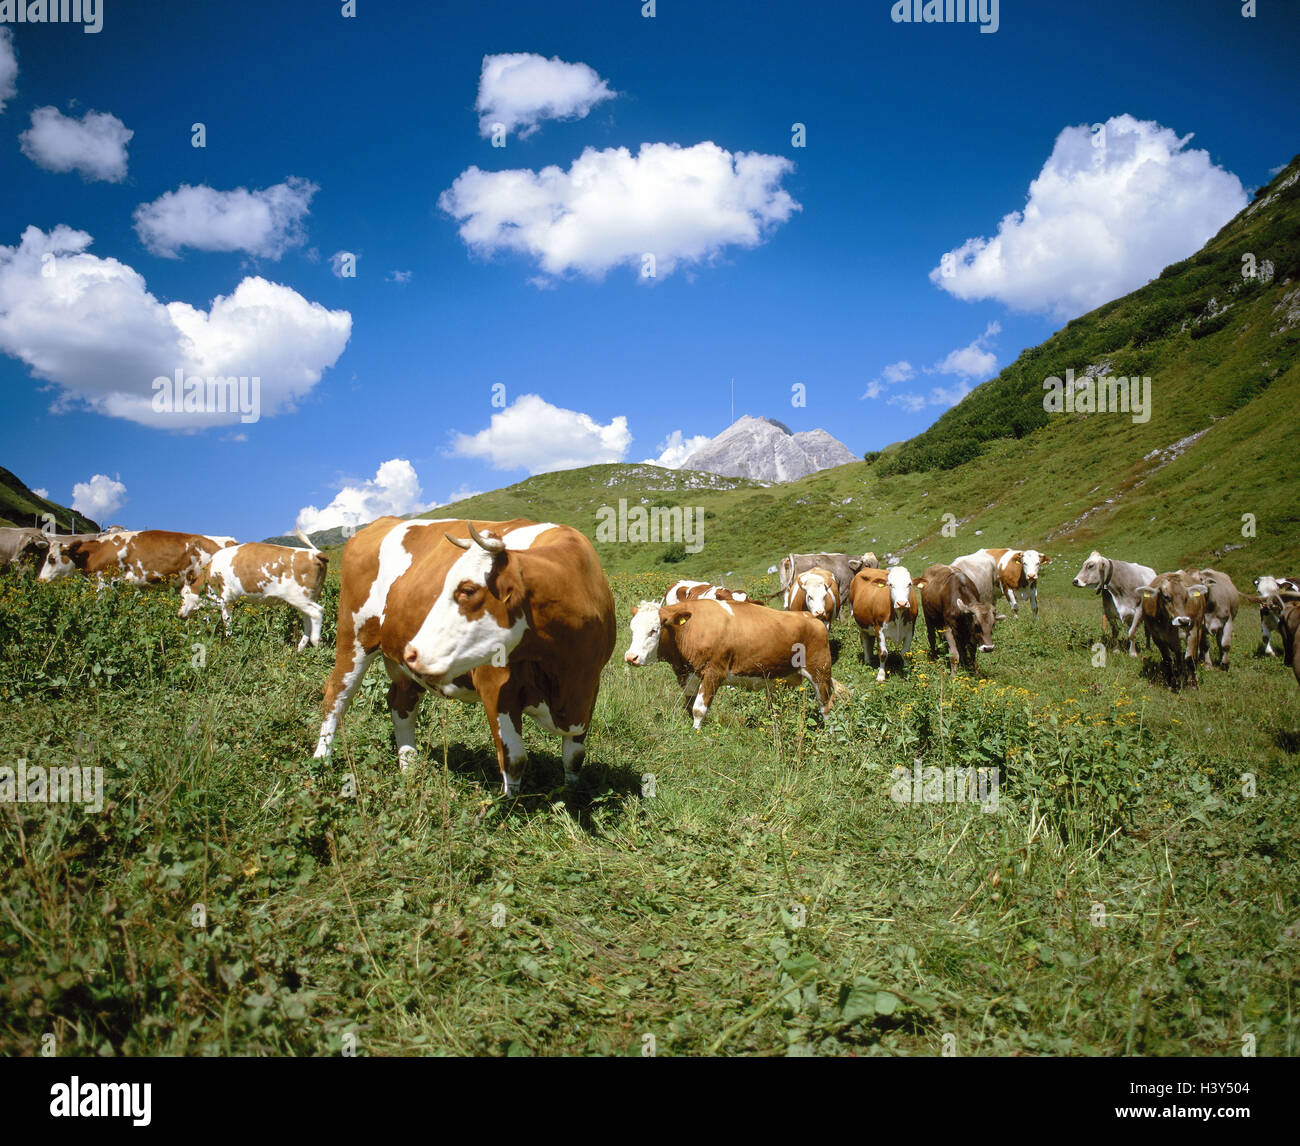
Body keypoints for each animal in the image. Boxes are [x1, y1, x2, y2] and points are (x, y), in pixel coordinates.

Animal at [179, 530, 329, 651]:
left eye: (183, 594)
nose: (179, 614)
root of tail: (315, 554)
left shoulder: (224, 600)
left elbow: (227, 623)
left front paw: (229, 643)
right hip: (306, 598)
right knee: (308, 619)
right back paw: (300, 648)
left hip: (298, 597)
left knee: (317, 612)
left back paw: (316, 642)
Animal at [313, 518, 615, 796]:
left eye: (467, 590)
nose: (413, 651)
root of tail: (382, 522)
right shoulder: (496, 687)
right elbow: (514, 759)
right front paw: (508, 804)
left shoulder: (590, 687)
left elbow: (574, 757)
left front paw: (572, 794)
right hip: (353, 638)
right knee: (336, 697)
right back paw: (321, 762)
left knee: (401, 705)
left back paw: (409, 767)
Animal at [623, 597, 839, 728]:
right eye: (632, 628)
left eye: (653, 630)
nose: (631, 657)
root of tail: (812, 618)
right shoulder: (689, 675)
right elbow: (689, 705)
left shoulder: (713, 673)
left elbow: (699, 708)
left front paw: (696, 733)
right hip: (781, 679)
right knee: (777, 709)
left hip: (820, 672)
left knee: (826, 705)